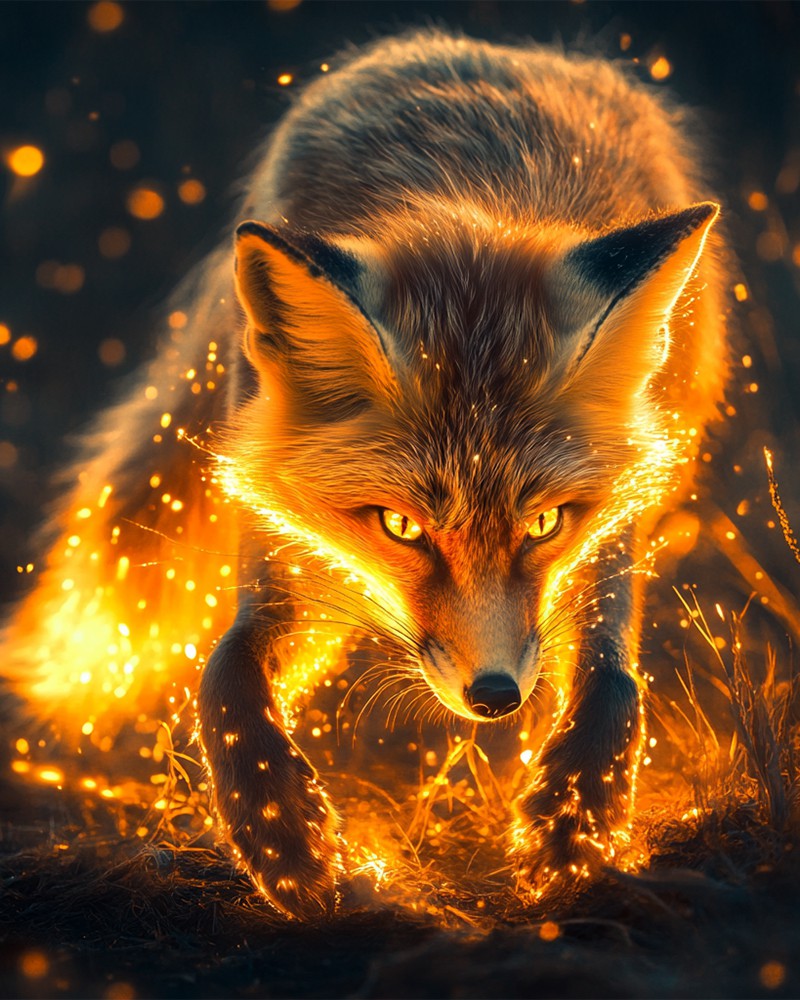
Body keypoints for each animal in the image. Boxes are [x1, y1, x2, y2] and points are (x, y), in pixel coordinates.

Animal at [3, 30, 728, 918]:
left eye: (544, 523)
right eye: (402, 527)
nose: (494, 696)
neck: (468, 206)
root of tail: (488, 47)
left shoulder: (607, 536)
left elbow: (614, 682)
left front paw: (573, 825)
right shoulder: (287, 550)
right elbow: (224, 674)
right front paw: (284, 837)